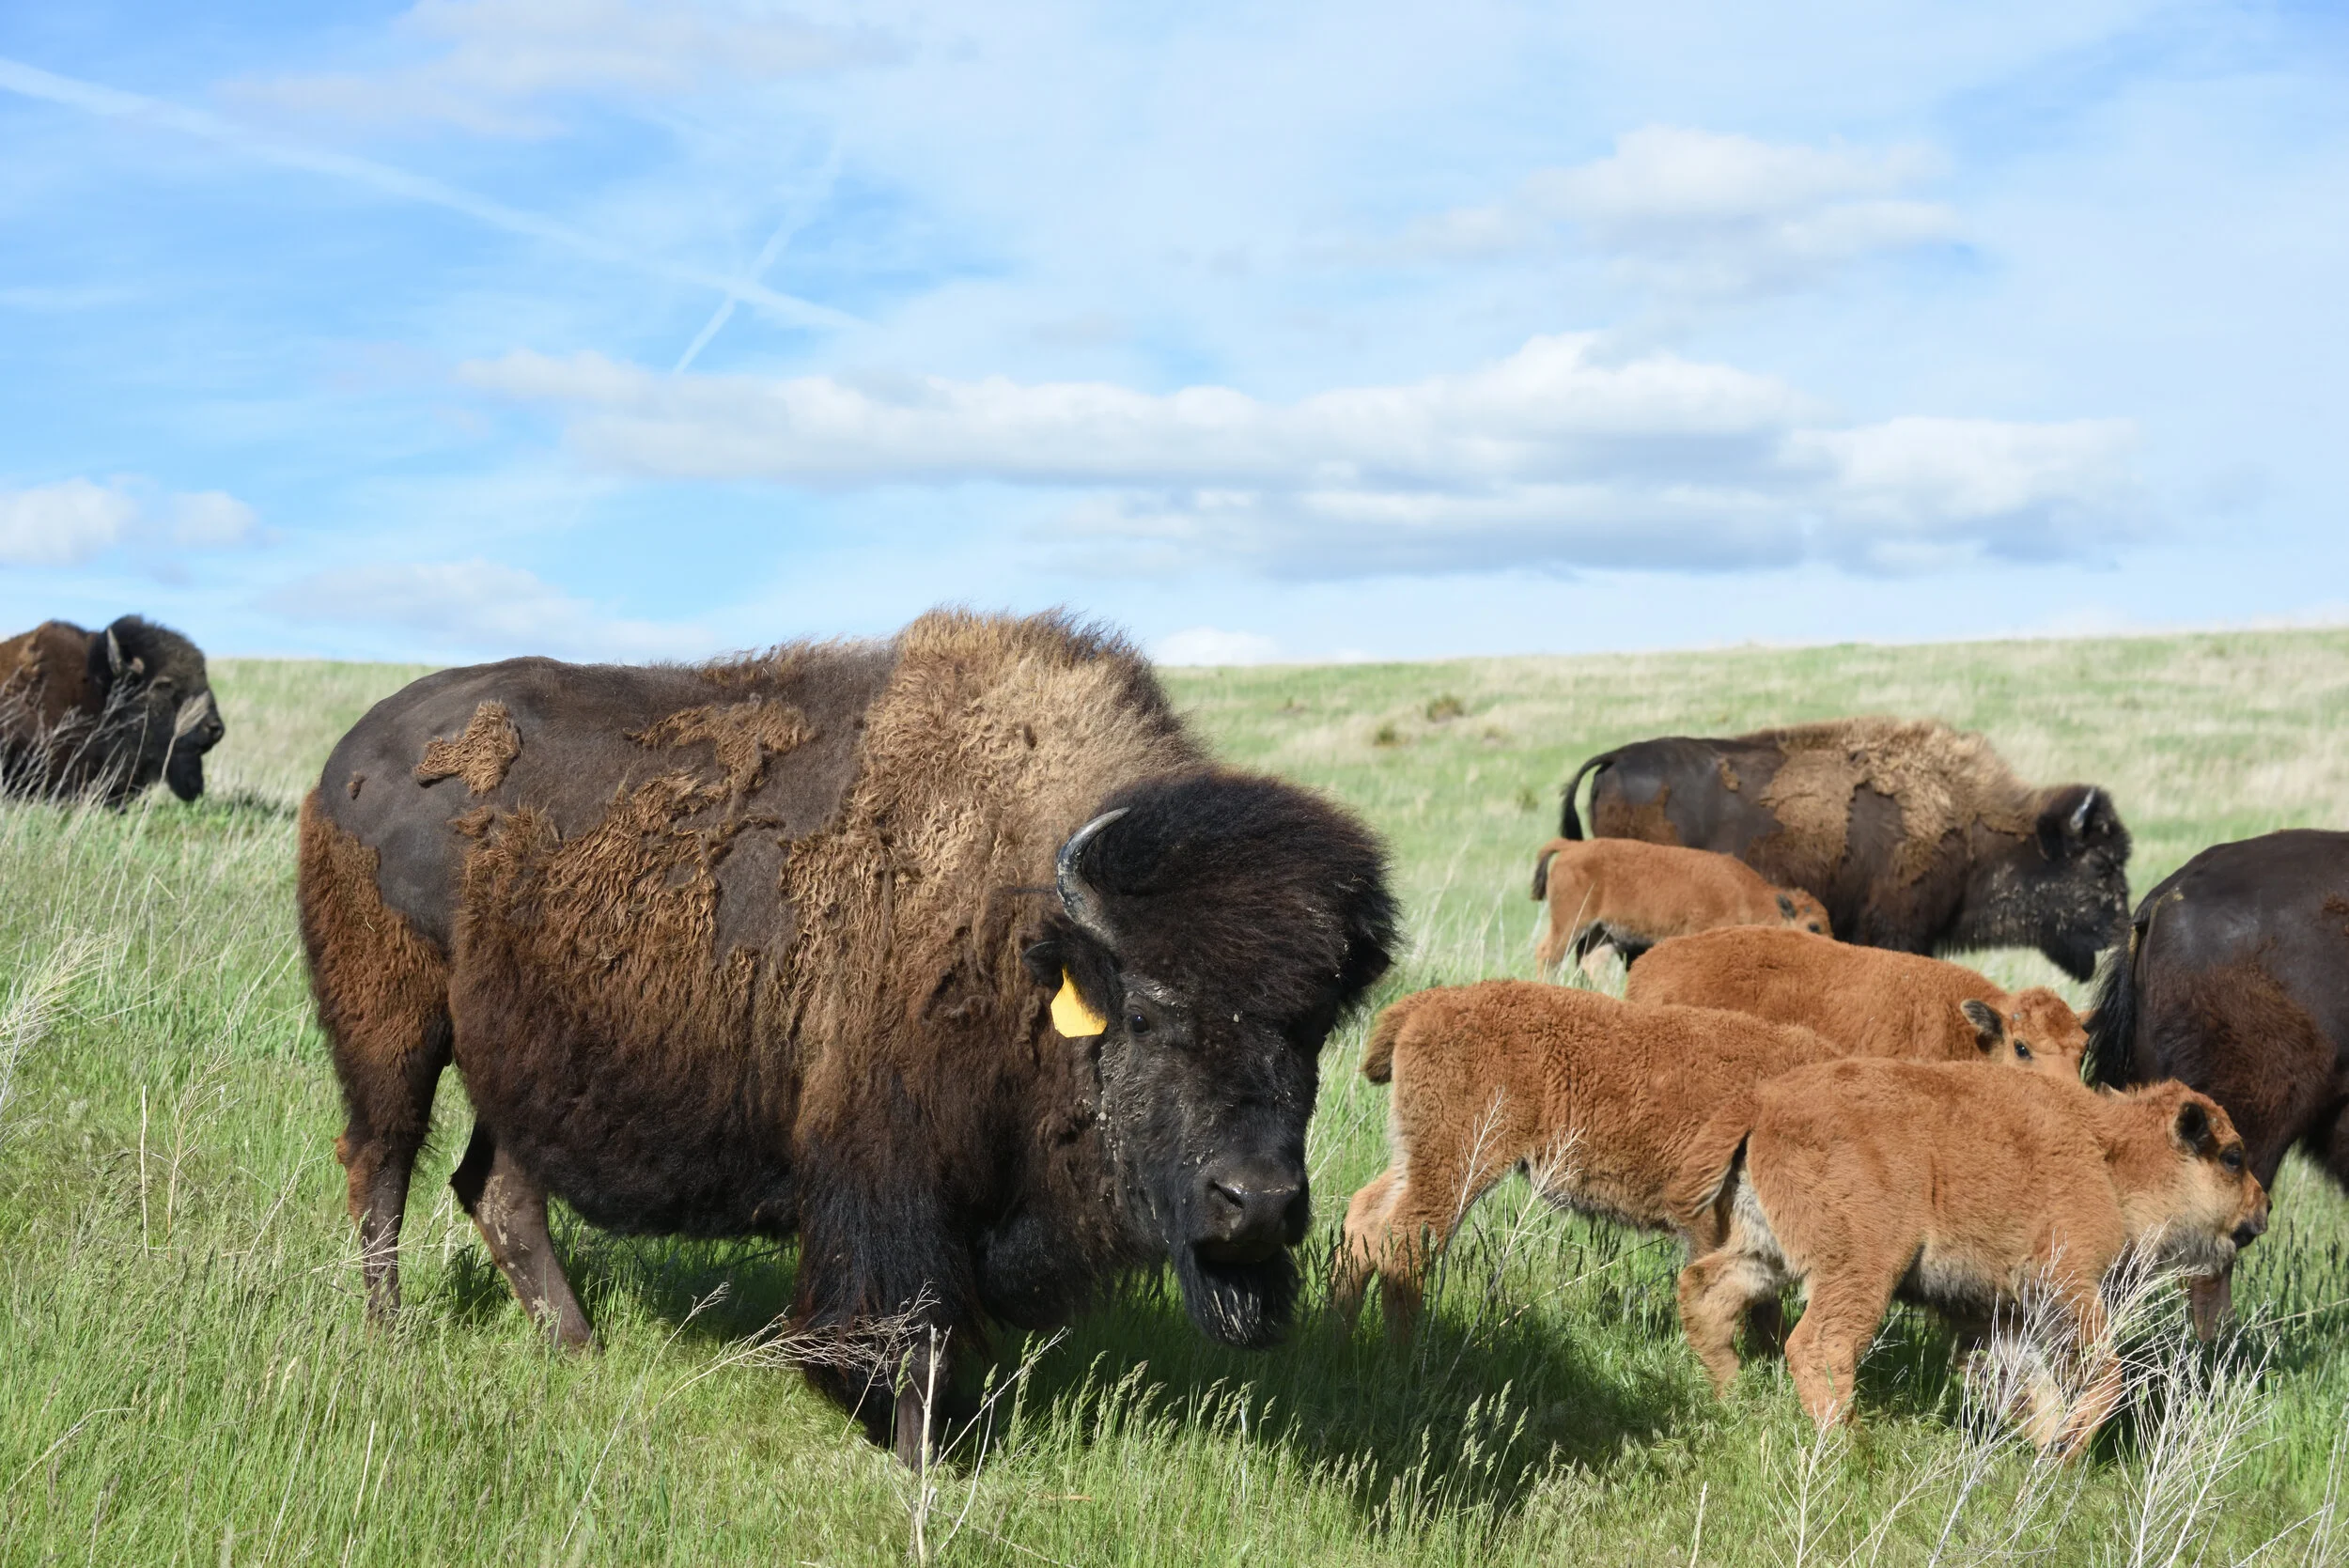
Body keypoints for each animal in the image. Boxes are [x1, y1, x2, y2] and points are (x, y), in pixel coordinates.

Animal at [298, 610, 1395, 1462]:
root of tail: (349, 757)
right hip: (393, 1026)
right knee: (381, 1161)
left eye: (1312, 1028)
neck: (1028, 928)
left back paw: (579, 1349)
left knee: (496, 1186)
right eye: (1147, 1012)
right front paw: (917, 1459)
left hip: (520, 1062)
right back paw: (392, 1339)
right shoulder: (889, 1181)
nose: (1256, 1203)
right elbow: (906, 1333)